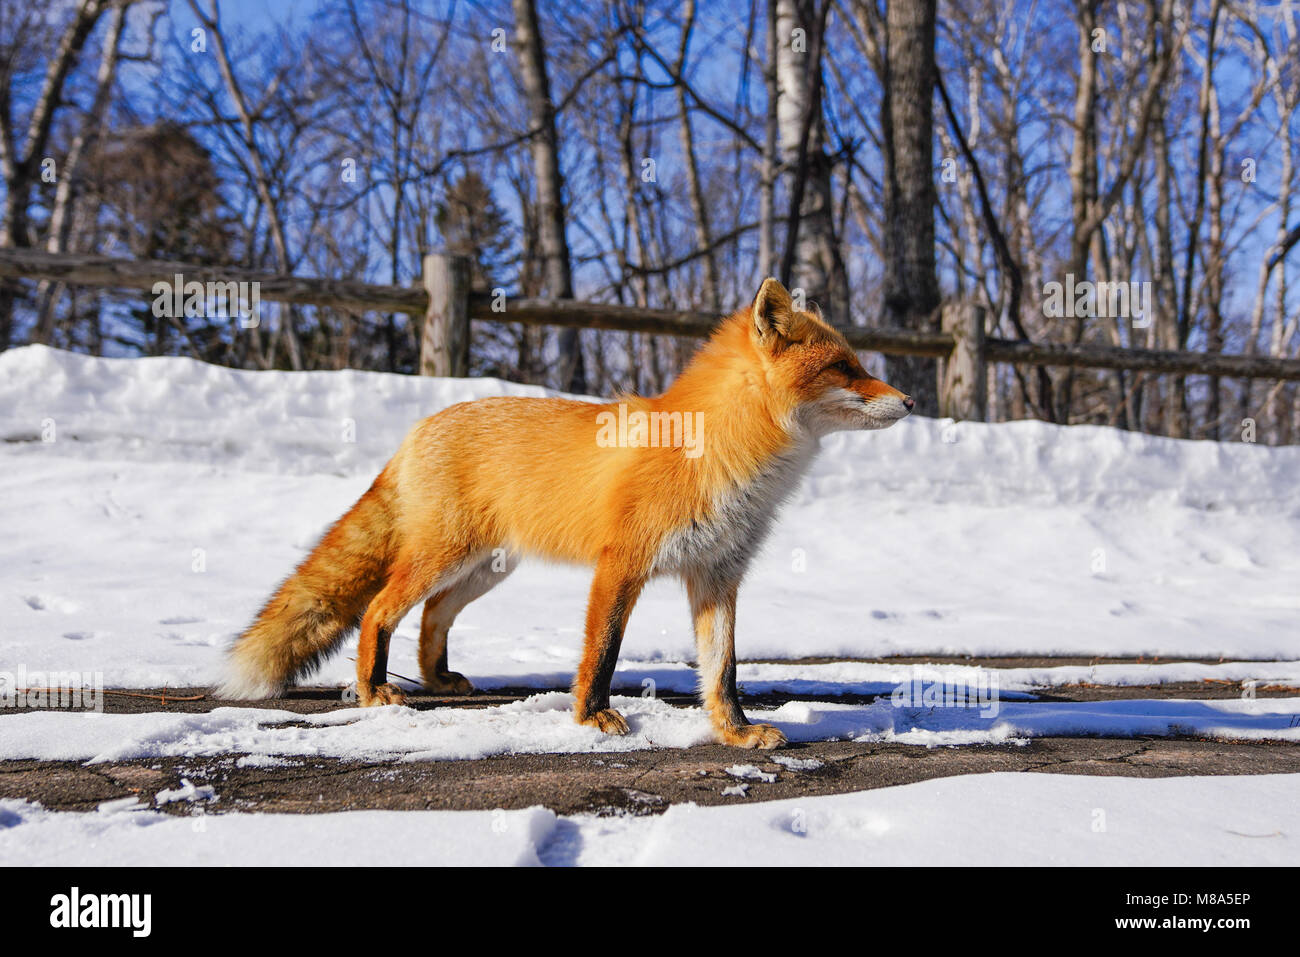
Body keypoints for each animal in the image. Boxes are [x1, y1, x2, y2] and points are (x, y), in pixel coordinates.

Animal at [219, 277, 913, 749]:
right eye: (845, 368)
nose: (908, 401)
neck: (718, 455)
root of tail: (419, 428)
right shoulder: (621, 565)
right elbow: (601, 654)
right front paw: (592, 718)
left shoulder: (718, 575)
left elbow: (723, 672)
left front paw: (735, 733)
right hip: (442, 559)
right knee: (379, 612)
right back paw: (374, 692)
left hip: (482, 570)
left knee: (433, 617)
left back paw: (437, 680)